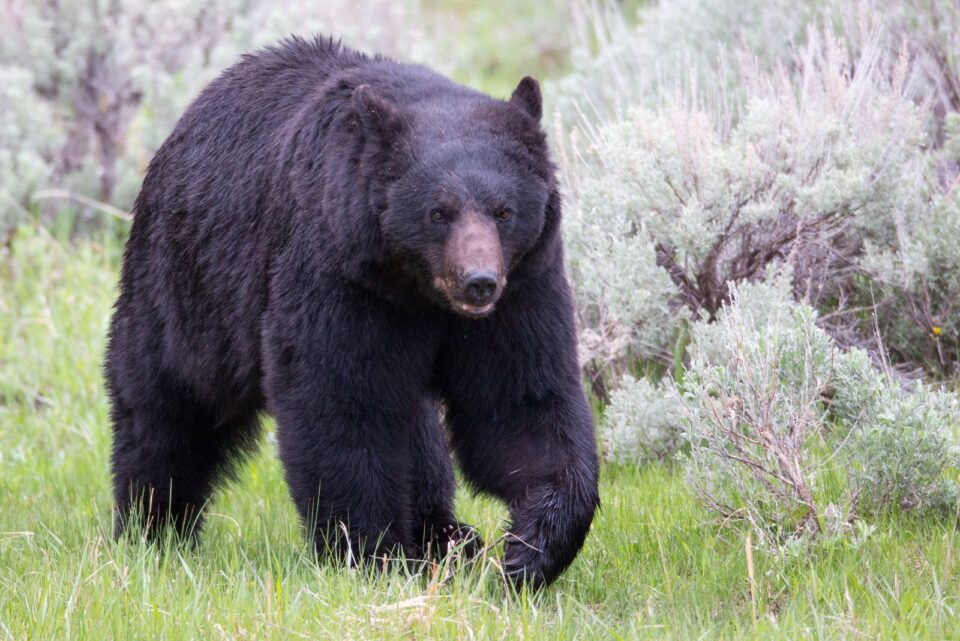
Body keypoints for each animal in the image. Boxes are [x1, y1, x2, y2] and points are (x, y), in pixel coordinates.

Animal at [105, 36, 599, 589]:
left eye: (504, 211)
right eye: (438, 212)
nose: (478, 282)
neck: (416, 292)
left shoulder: (524, 288)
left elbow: (519, 402)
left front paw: (531, 550)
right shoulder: (337, 273)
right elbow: (341, 402)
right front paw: (371, 553)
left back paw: (447, 536)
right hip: (190, 285)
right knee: (167, 404)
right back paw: (154, 528)